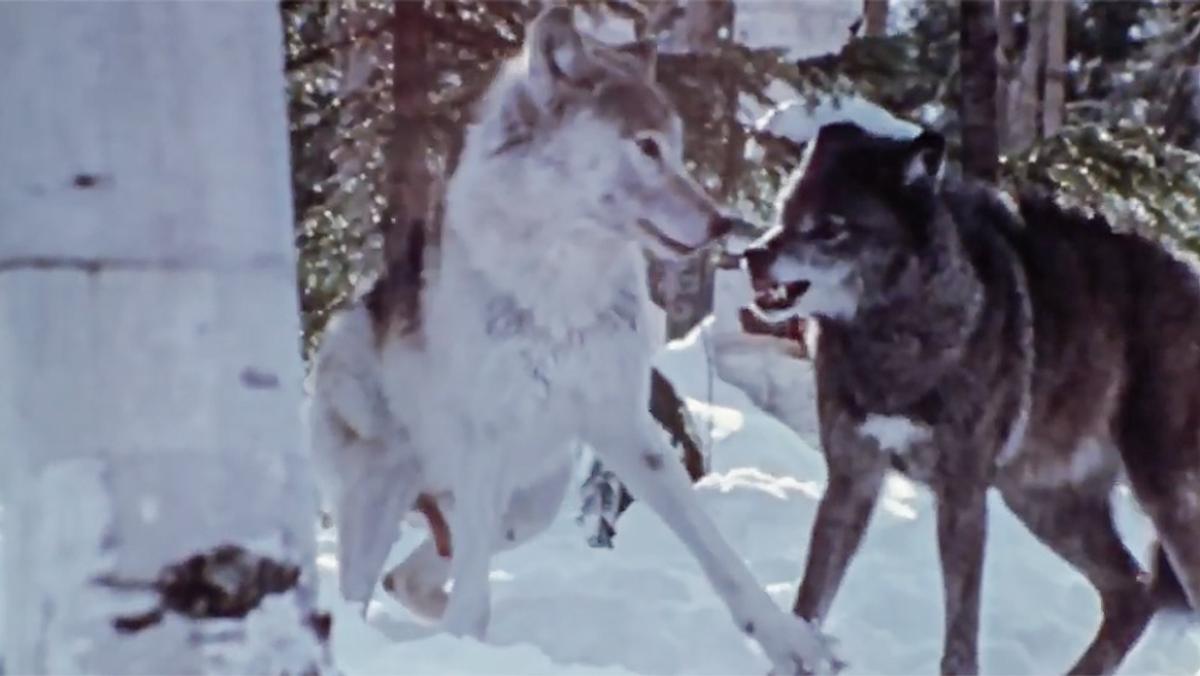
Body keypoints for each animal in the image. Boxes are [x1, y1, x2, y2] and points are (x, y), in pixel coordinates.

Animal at [307, 7, 835, 673]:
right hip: (384, 497)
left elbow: (720, 555)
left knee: (410, 576)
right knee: (364, 591)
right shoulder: (486, 442)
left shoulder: (625, 427)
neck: (563, 287)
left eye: (679, 150)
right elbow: (473, 597)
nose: (723, 224)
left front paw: (791, 642)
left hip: (534, 498)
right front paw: (465, 649)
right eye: (647, 146)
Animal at [741, 120, 1200, 675]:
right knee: (1133, 592)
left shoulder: (962, 494)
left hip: (1161, 497)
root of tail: (1192, 276)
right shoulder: (852, 479)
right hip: (1042, 503)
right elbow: (809, 604)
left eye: (829, 228)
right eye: (784, 215)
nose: (751, 256)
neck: (896, 337)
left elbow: (961, 638)